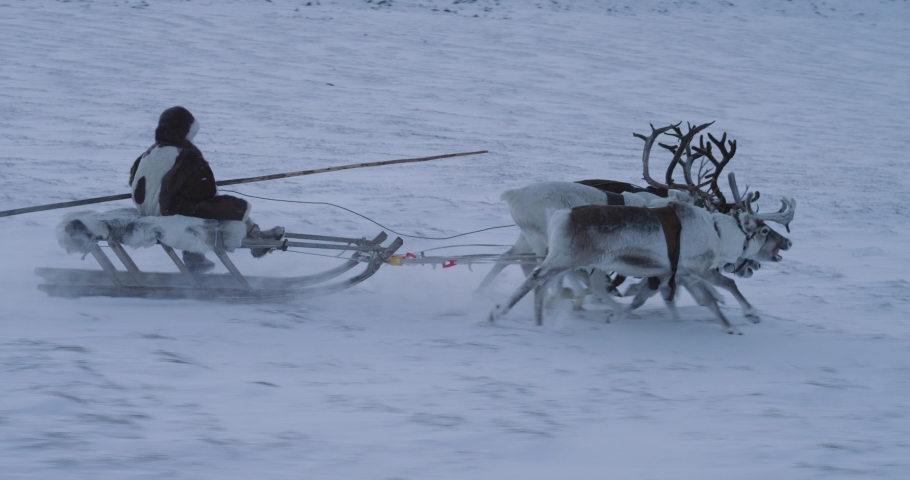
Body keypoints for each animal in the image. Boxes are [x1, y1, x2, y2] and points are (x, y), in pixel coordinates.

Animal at [487, 123, 796, 334]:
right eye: (763, 230)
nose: (752, 267)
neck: (716, 231)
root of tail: (514, 194)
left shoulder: (671, 271)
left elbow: (674, 294)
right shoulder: (690, 268)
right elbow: (716, 288)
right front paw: (745, 314)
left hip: (533, 241)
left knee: (512, 261)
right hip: (553, 249)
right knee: (539, 275)